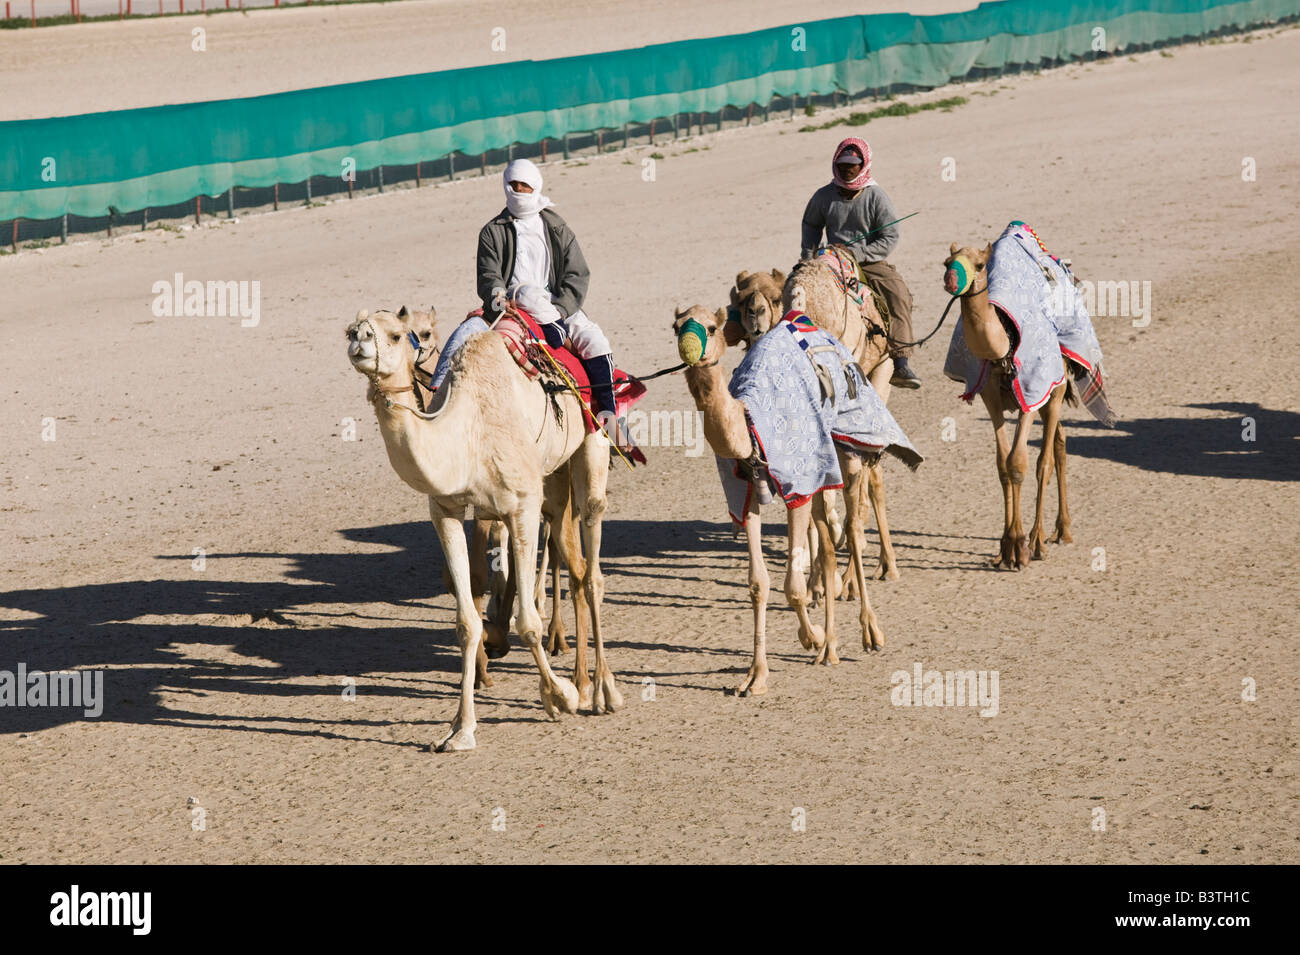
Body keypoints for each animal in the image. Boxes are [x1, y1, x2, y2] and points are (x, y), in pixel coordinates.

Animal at [345, 306, 621, 751]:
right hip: (553, 480)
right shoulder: (446, 509)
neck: (466, 435)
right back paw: (583, 679)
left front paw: (559, 696)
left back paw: (600, 690)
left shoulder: (521, 505)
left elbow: (528, 622)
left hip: (592, 440)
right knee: (574, 561)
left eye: (396, 335)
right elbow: (466, 621)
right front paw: (460, 730)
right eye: (350, 330)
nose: (360, 339)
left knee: (592, 564)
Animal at [673, 305, 886, 697]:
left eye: (712, 326)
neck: (749, 424)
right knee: (828, 547)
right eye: (676, 326)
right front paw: (755, 677)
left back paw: (870, 632)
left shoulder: (796, 487)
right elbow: (758, 583)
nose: (689, 348)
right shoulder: (747, 495)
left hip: (845, 447)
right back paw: (832, 647)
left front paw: (811, 637)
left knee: (852, 526)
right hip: (822, 465)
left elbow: (793, 586)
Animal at [943, 242, 1071, 569]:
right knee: (1060, 443)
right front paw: (1005, 548)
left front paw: (1022, 547)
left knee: (1045, 461)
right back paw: (1062, 529)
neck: (1003, 347)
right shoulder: (991, 399)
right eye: (947, 262)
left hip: (1056, 389)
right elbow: (1002, 465)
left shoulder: (1030, 395)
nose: (951, 280)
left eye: (979, 265)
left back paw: (1041, 539)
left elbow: (1018, 463)